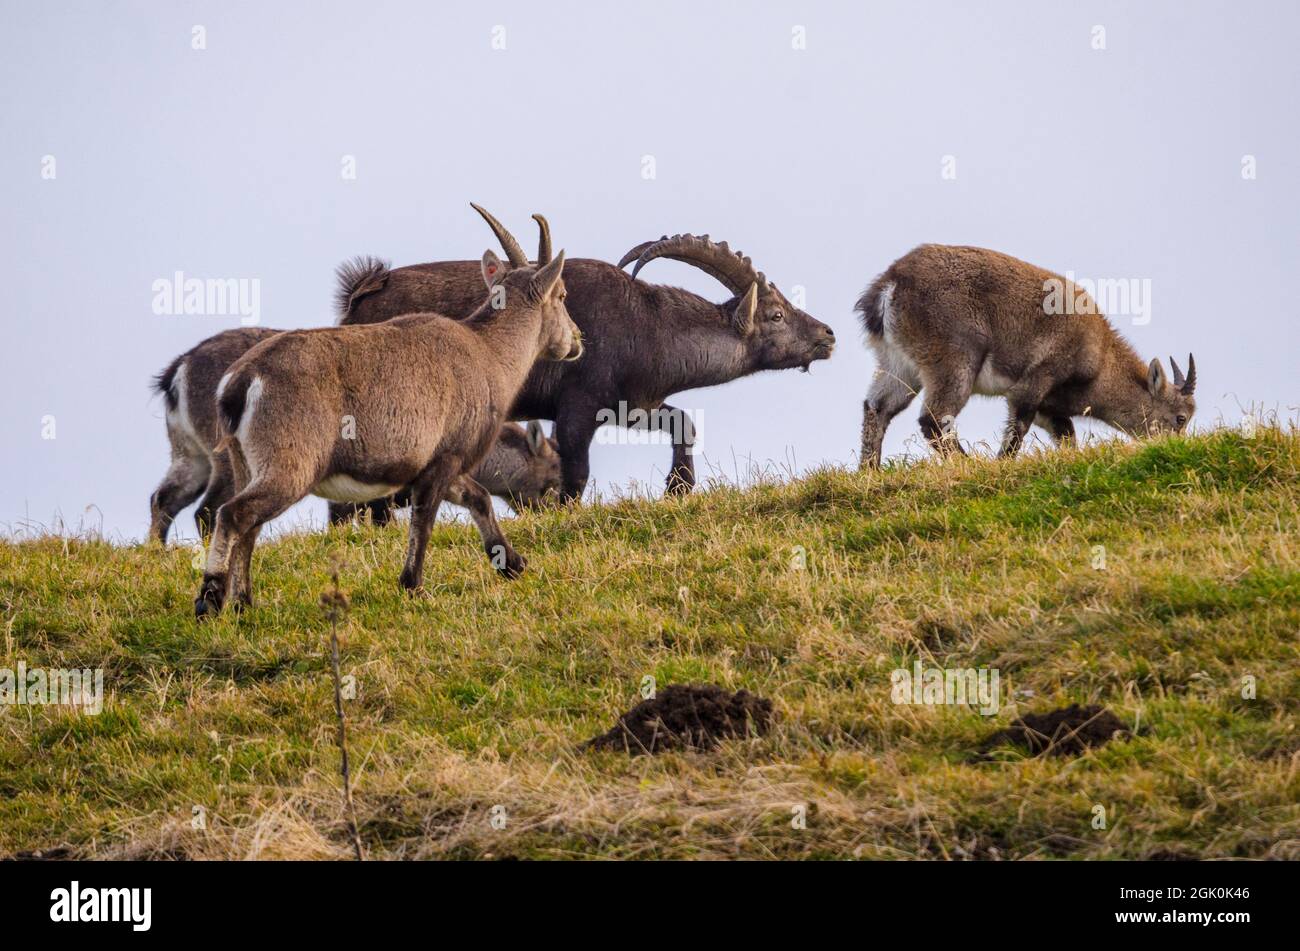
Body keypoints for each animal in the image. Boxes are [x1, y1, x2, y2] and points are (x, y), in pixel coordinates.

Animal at [150, 329, 560, 541]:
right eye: (554, 472)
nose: (558, 509)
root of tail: (178, 371)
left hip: (190, 455)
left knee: (164, 499)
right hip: (226, 461)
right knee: (206, 511)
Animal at [193, 240, 580, 617]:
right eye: (561, 295)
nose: (577, 340)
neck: (488, 352)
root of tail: (241, 382)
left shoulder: (439, 462)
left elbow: (479, 498)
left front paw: (512, 563)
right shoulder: (445, 459)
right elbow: (424, 520)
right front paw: (414, 586)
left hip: (245, 463)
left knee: (250, 526)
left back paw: (243, 604)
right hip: (289, 467)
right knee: (234, 514)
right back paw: (209, 601)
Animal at [338, 212, 836, 507]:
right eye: (775, 314)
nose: (827, 335)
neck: (648, 328)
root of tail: (361, 294)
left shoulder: (629, 406)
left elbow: (684, 422)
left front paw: (677, 488)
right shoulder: (576, 409)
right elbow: (575, 473)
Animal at [857, 244, 1197, 466]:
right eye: (1180, 417)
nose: (1175, 448)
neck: (1100, 359)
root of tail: (890, 284)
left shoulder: (1050, 409)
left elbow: (1067, 437)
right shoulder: (1036, 381)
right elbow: (1017, 429)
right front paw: (1001, 465)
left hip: (899, 364)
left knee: (878, 407)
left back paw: (870, 472)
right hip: (956, 360)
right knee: (934, 419)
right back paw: (970, 464)